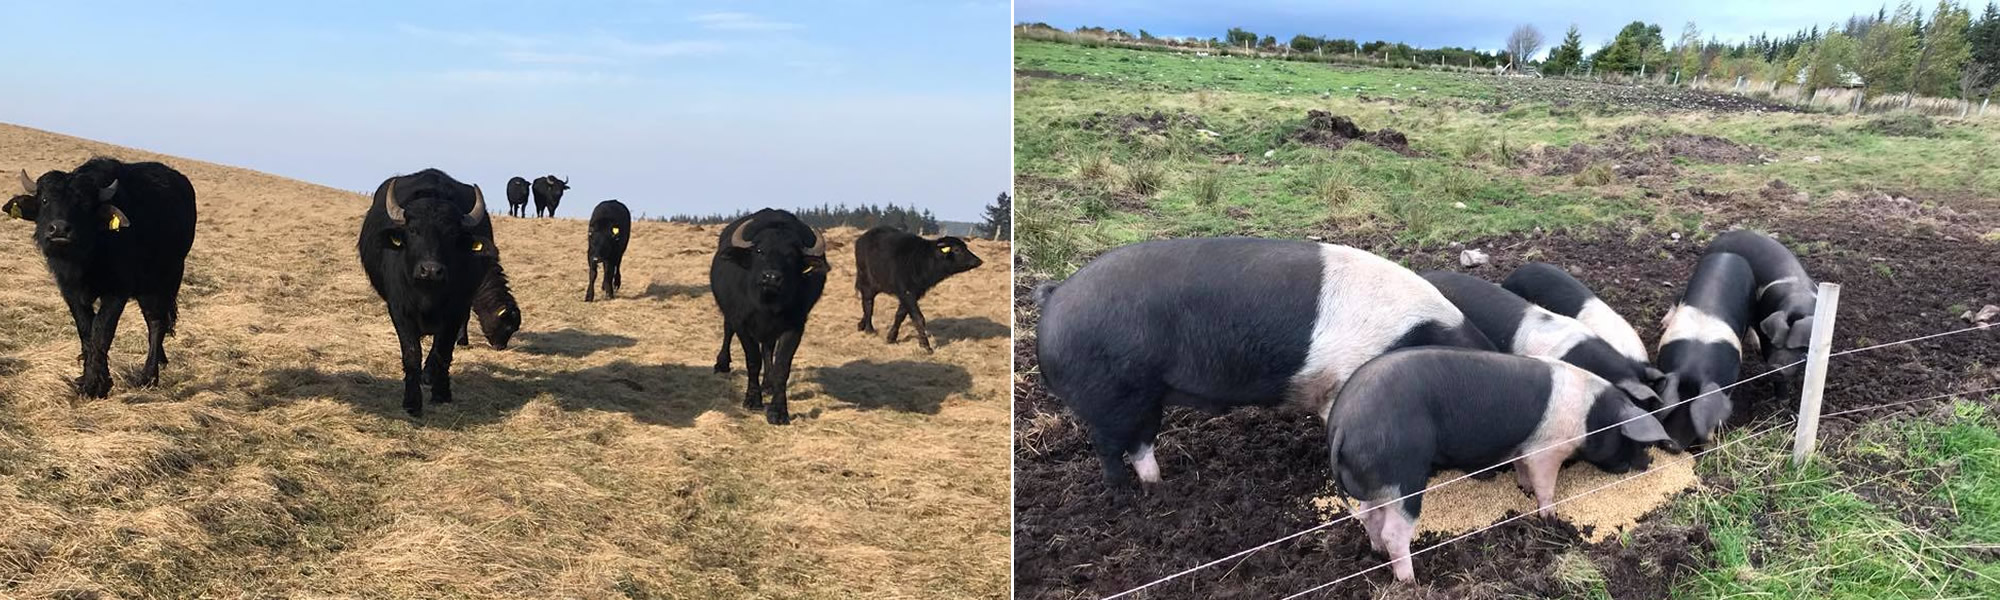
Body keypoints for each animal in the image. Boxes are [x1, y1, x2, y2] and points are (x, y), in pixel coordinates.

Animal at [6, 158, 197, 397]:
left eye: (85, 204)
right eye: (45, 199)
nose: (59, 229)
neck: (87, 258)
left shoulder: (117, 291)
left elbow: (102, 330)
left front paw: (95, 385)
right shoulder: (70, 291)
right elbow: (86, 330)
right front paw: (87, 377)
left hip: (163, 280)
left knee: (156, 322)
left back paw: (148, 376)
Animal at [356, 168, 496, 416]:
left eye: (451, 234)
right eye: (413, 230)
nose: (430, 270)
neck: (428, 294)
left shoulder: (456, 310)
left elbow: (443, 351)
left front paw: (441, 392)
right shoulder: (399, 310)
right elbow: (412, 353)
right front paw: (412, 401)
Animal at [709, 209, 828, 425]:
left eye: (791, 255)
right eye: (759, 251)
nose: (771, 277)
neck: (767, 304)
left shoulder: (795, 327)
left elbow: (782, 366)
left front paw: (778, 411)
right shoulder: (742, 322)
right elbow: (753, 360)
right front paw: (752, 400)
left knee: (768, 347)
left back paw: (768, 384)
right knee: (728, 329)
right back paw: (722, 364)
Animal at [853, 227, 984, 352]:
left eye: (965, 247)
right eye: (957, 250)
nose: (978, 261)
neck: (921, 260)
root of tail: (863, 238)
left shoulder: (912, 294)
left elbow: (900, 315)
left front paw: (891, 337)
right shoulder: (907, 293)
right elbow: (918, 318)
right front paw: (926, 346)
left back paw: (861, 325)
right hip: (867, 281)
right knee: (868, 304)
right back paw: (869, 329)